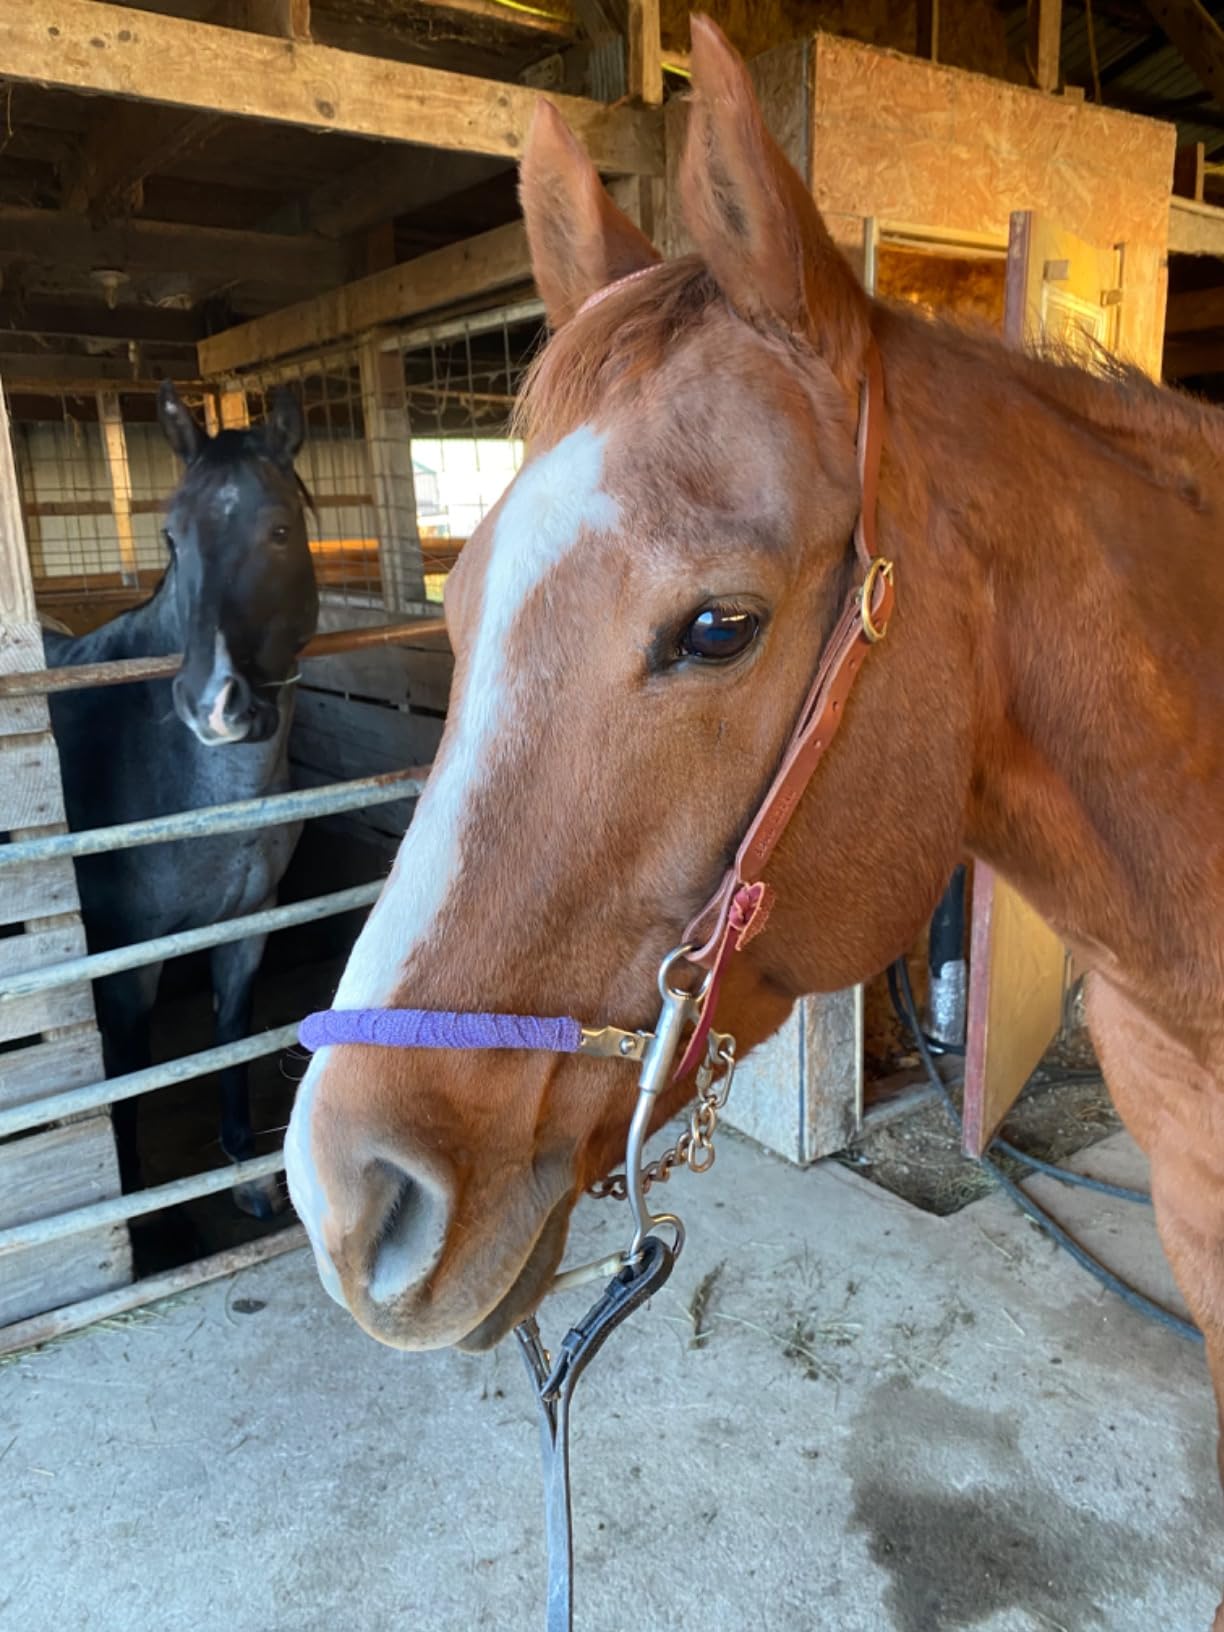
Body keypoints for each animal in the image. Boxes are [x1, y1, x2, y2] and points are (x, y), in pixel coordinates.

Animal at [47, 383, 318, 1220]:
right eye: (170, 538)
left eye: (280, 530)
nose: (213, 706)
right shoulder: (128, 957)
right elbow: (130, 1071)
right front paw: (136, 1206)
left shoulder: (247, 923)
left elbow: (231, 1033)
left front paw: (243, 1167)